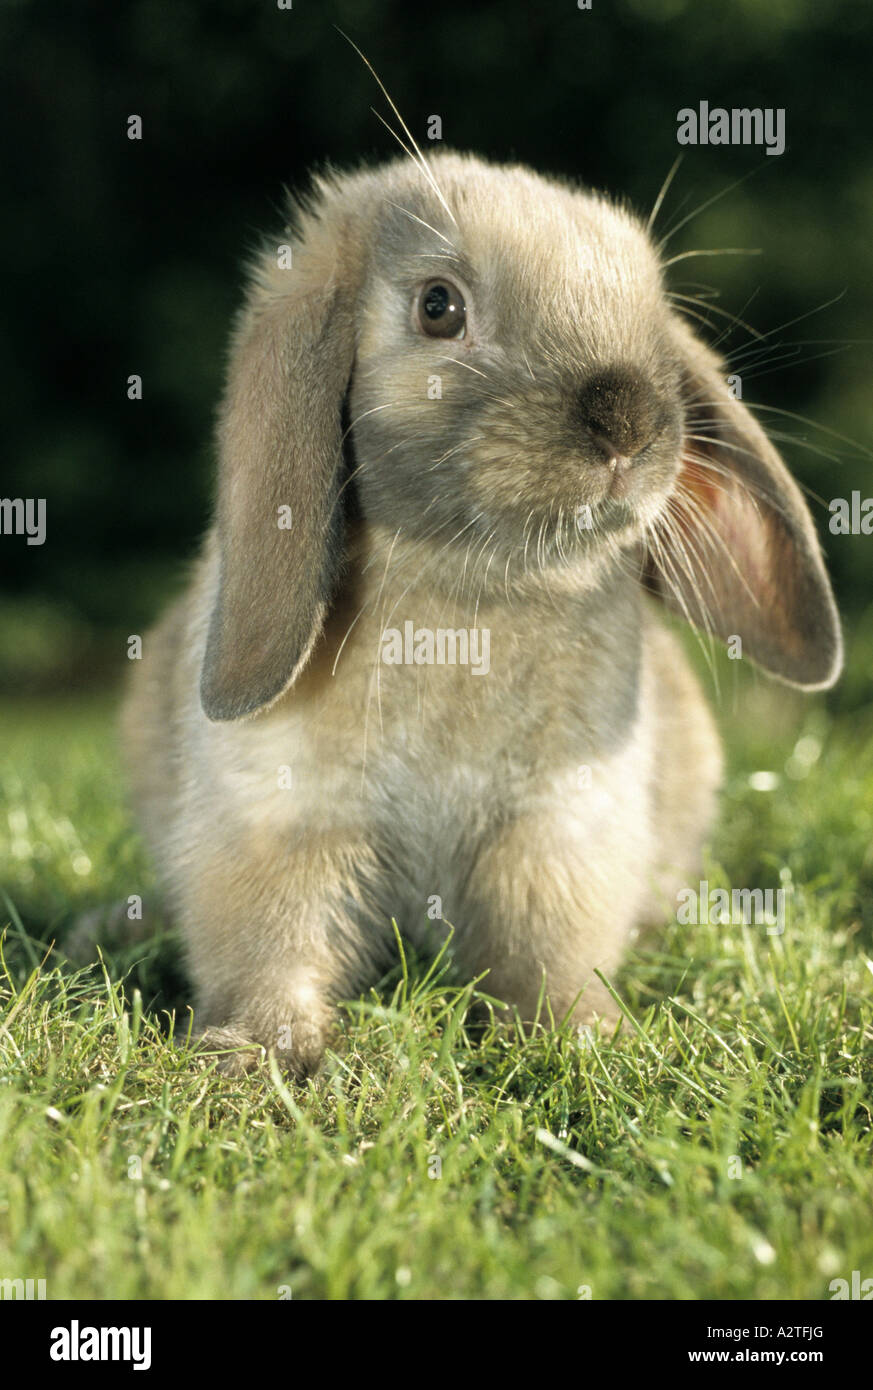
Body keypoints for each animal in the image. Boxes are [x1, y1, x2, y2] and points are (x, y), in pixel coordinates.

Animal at [120, 150, 842, 1077]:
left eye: (651, 316)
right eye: (438, 306)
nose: (628, 418)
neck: (471, 595)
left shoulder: (553, 831)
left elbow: (548, 950)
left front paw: (584, 1043)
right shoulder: (280, 820)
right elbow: (272, 943)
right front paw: (255, 1054)